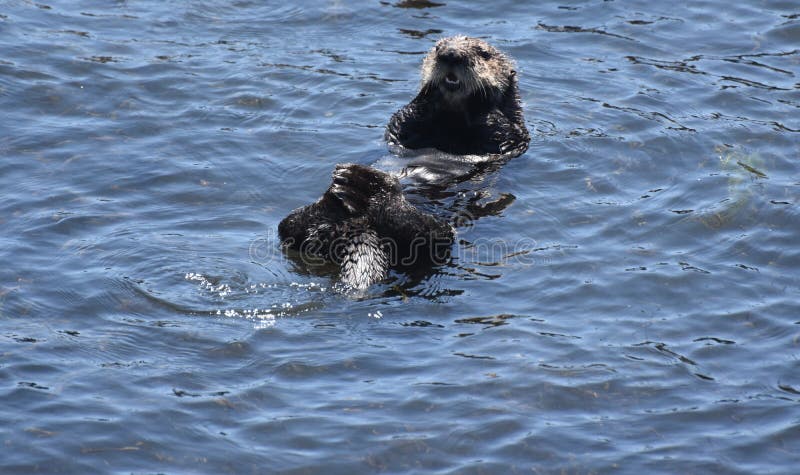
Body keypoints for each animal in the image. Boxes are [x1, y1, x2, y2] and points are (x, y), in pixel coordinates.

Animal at [386, 35, 530, 158]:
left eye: (484, 53)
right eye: (437, 48)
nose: (450, 54)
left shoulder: (515, 138)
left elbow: (505, 135)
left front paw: (480, 95)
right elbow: (399, 124)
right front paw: (430, 88)